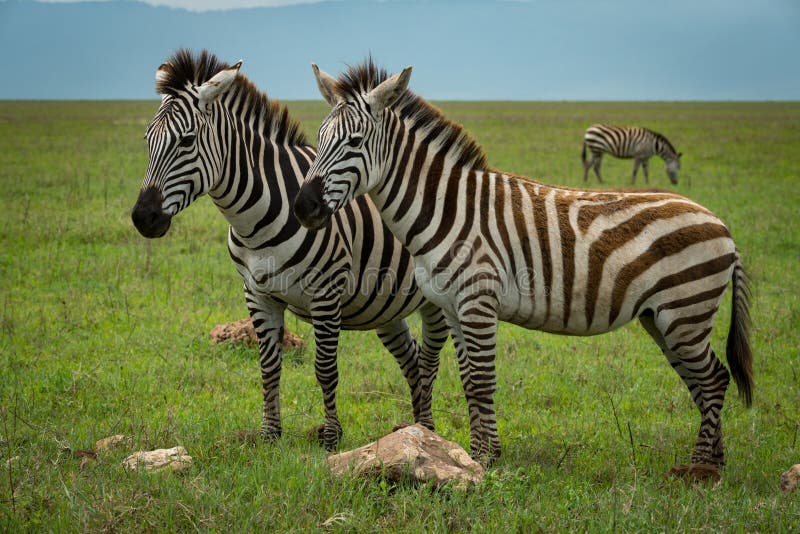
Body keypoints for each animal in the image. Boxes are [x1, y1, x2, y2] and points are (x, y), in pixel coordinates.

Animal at [130, 50, 449, 450]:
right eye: (147, 139)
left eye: (186, 141)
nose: (143, 218)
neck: (253, 220)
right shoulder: (257, 294)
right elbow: (269, 366)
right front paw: (269, 435)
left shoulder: (325, 293)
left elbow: (325, 369)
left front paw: (331, 438)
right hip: (386, 307)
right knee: (412, 360)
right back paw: (417, 429)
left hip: (434, 301)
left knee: (429, 362)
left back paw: (427, 430)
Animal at [293, 60, 753, 474]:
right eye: (319, 138)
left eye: (354, 142)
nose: (303, 207)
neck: (447, 209)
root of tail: (722, 226)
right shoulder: (452, 306)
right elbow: (467, 380)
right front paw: (476, 453)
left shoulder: (478, 300)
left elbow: (482, 381)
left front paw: (487, 459)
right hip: (663, 318)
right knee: (703, 381)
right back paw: (714, 462)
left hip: (685, 310)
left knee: (713, 378)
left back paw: (699, 469)